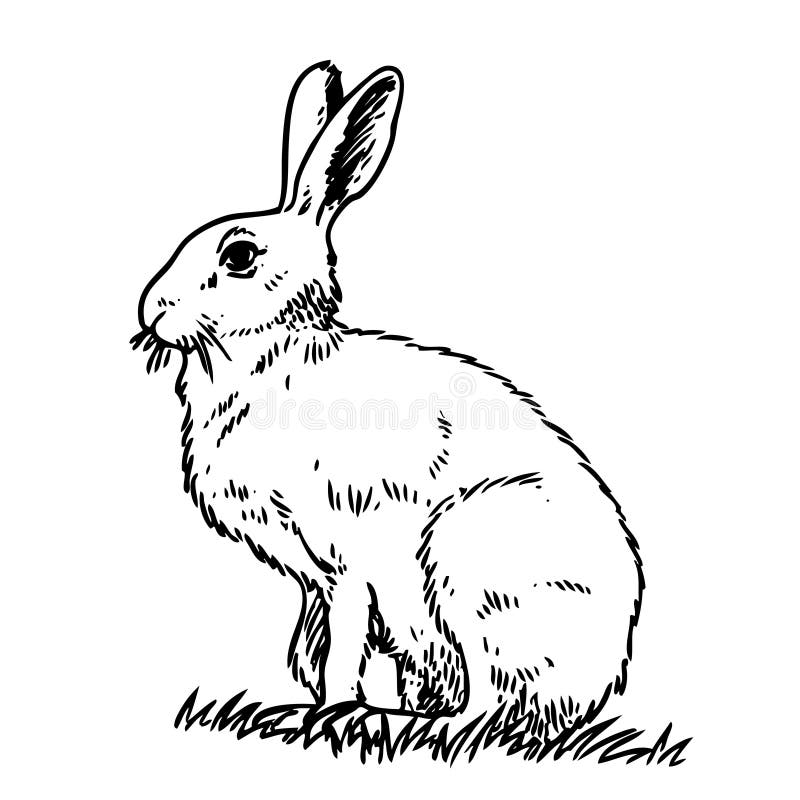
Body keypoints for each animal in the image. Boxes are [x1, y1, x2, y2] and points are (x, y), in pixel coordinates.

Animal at [133, 61, 643, 740]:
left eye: (239, 255)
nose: (151, 309)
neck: (276, 361)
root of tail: (601, 675)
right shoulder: (315, 582)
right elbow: (315, 642)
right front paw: (305, 698)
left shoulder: (347, 556)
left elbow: (343, 645)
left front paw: (324, 715)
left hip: (464, 563)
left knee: (493, 703)